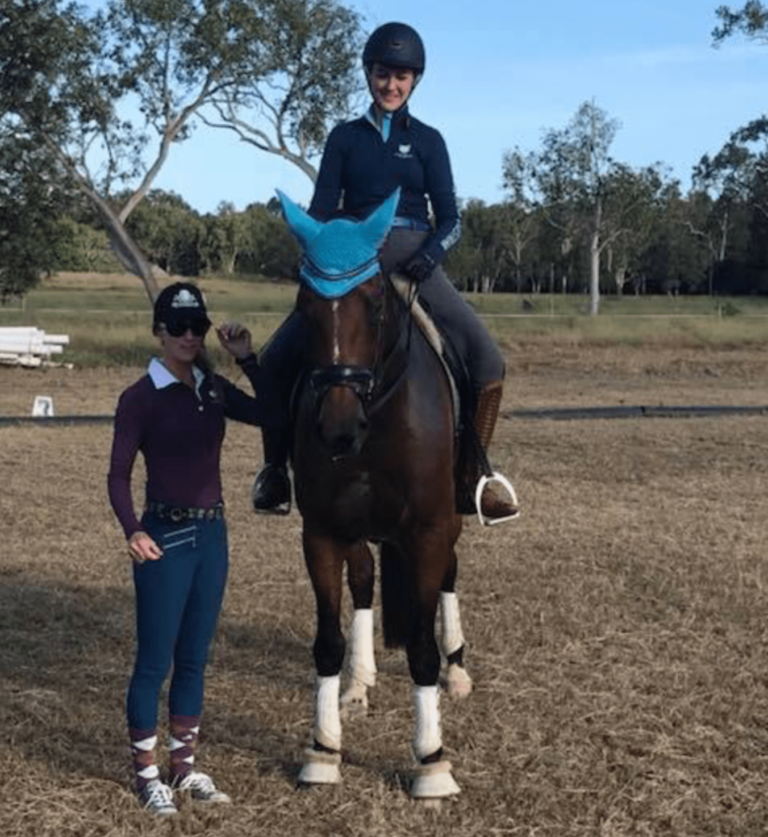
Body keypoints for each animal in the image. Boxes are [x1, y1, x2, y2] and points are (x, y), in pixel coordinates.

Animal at [277, 188, 471, 799]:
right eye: (305, 307)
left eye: (377, 306)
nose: (339, 428)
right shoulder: (321, 532)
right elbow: (327, 640)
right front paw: (322, 750)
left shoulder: (429, 529)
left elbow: (423, 649)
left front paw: (432, 760)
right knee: (363, 580)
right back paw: (358, 683)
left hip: (450, 519)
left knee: (450, 575)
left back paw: (459, 670)